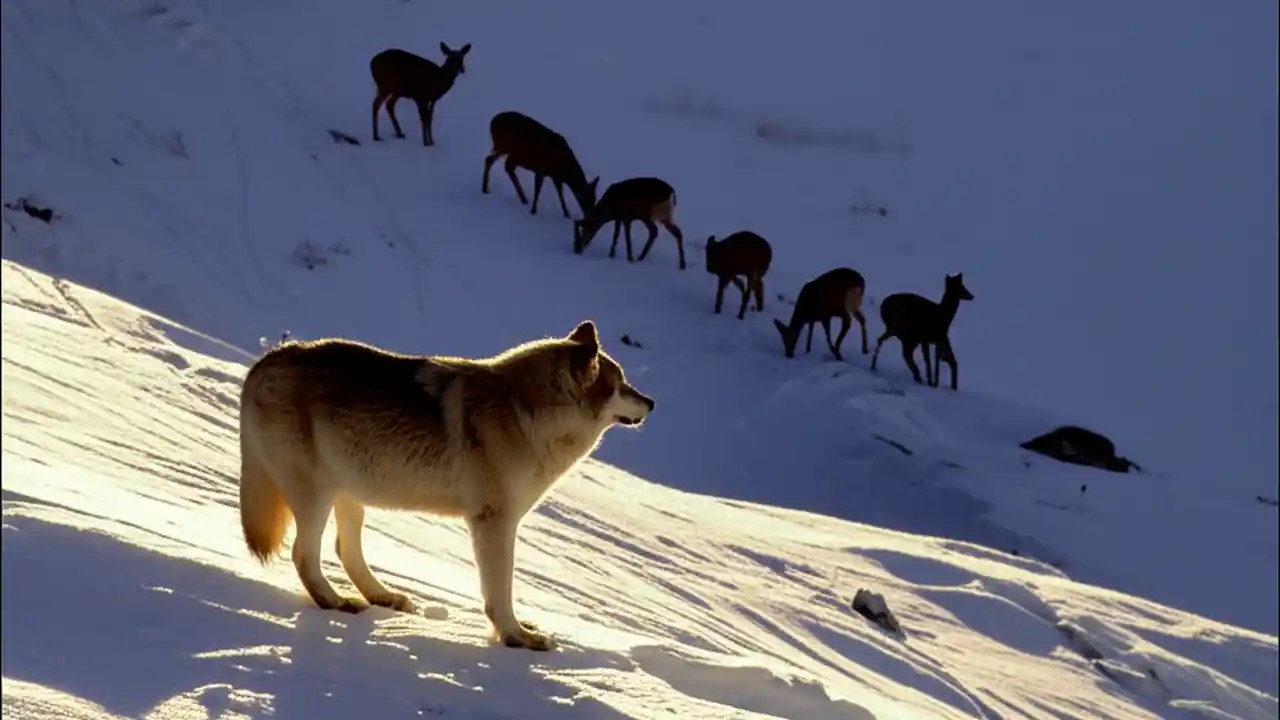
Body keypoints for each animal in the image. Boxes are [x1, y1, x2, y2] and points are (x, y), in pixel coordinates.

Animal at [238, 320, 654, 651]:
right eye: (622, 385)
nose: (651, 402)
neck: (526, 415)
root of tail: (265, 361)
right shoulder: (494, 521)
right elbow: (500, 589)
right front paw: (516, 638)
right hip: (317, 495)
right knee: (303, 555)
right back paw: (339, 603)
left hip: (350, 495)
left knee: (344, 551)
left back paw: (384, 597)